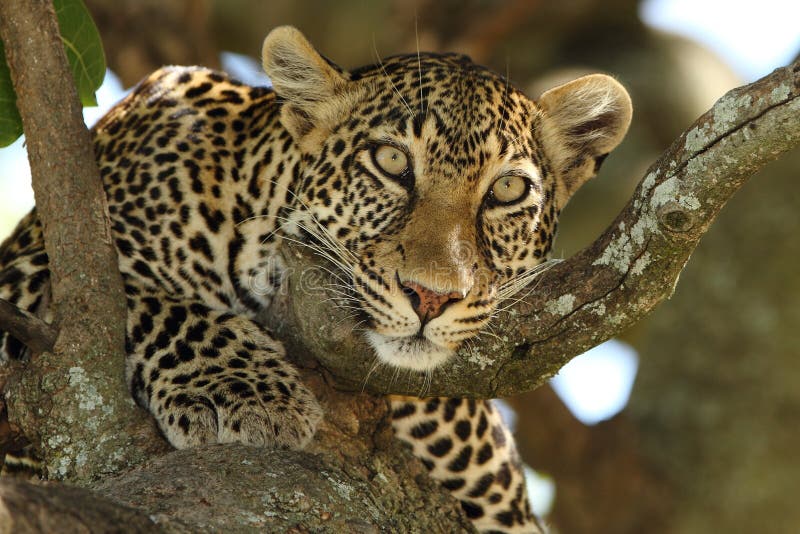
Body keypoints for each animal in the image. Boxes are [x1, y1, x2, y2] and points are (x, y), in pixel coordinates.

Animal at [0, 26, 631, 533]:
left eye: (507, 190)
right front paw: (242, 391)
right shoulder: (27, 269)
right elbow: (144, 299)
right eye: (391, 162)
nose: (431, 297)